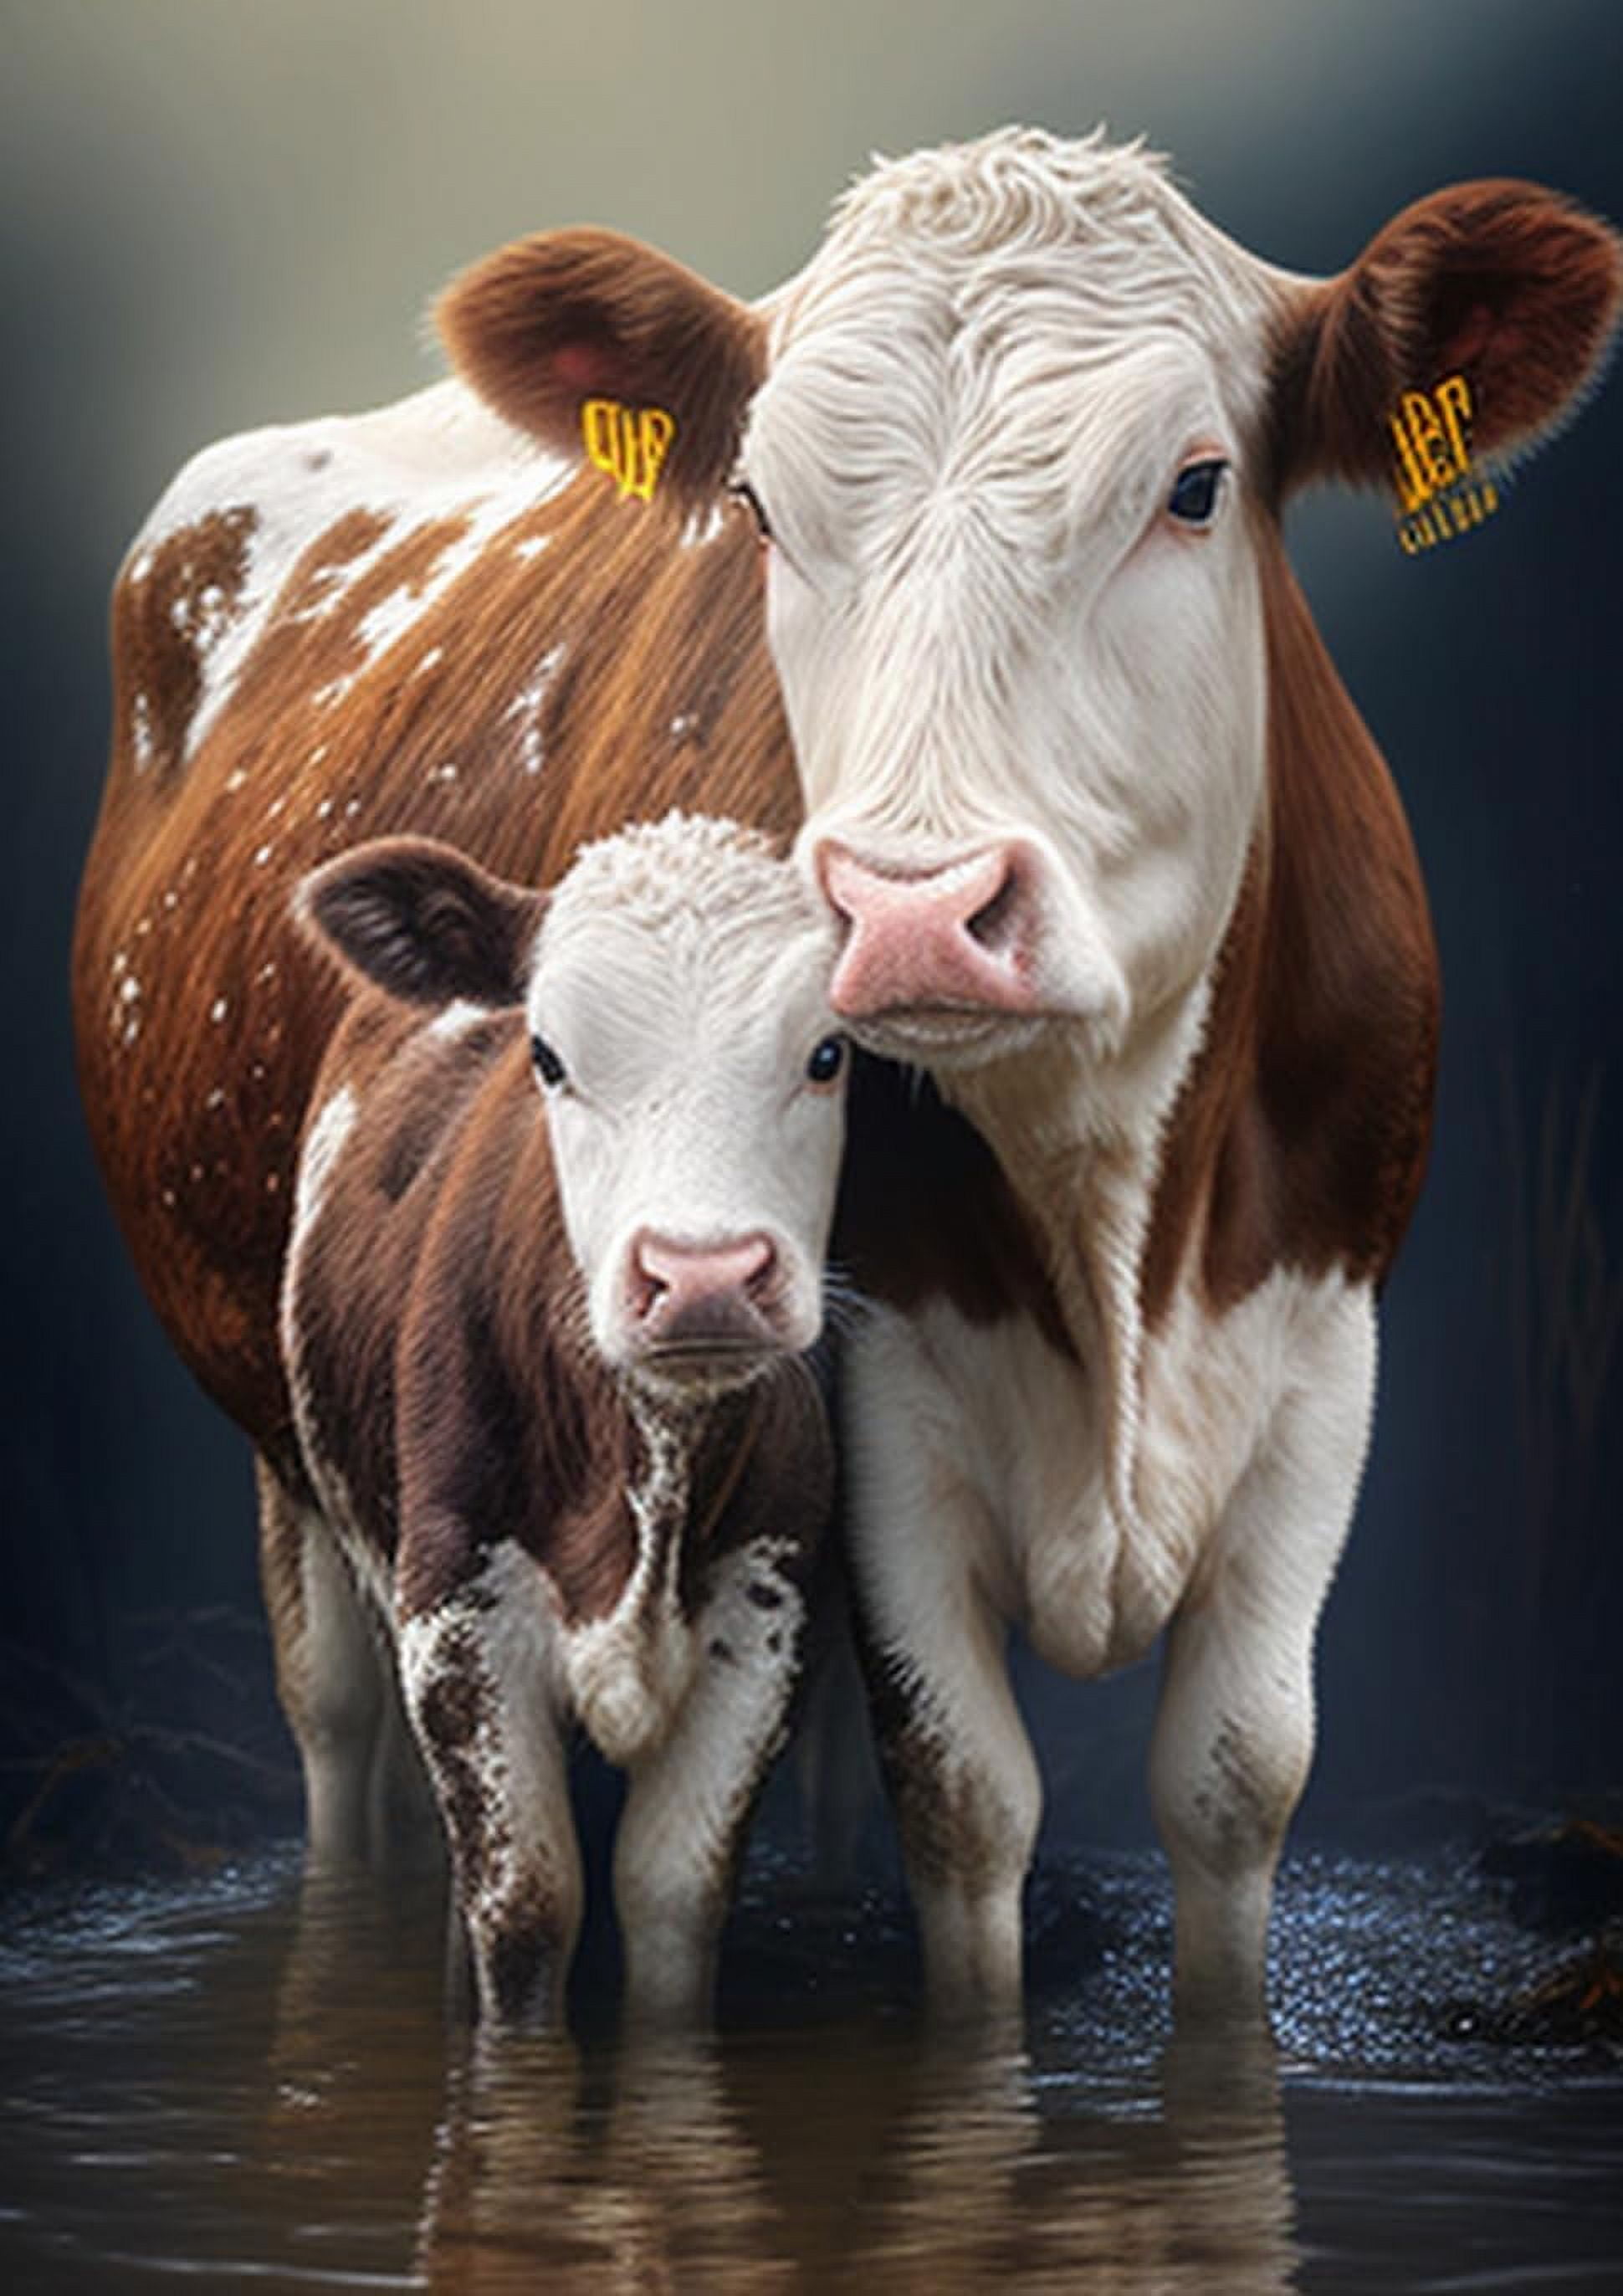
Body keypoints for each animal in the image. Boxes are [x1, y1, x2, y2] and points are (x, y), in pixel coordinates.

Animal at [279, 812, 846, 2024]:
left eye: (828, 1054)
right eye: (547, 1056)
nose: (702, 1275)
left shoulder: (768, 1608)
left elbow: (673, 1902)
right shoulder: (454, 1609)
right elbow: (527, 1910)